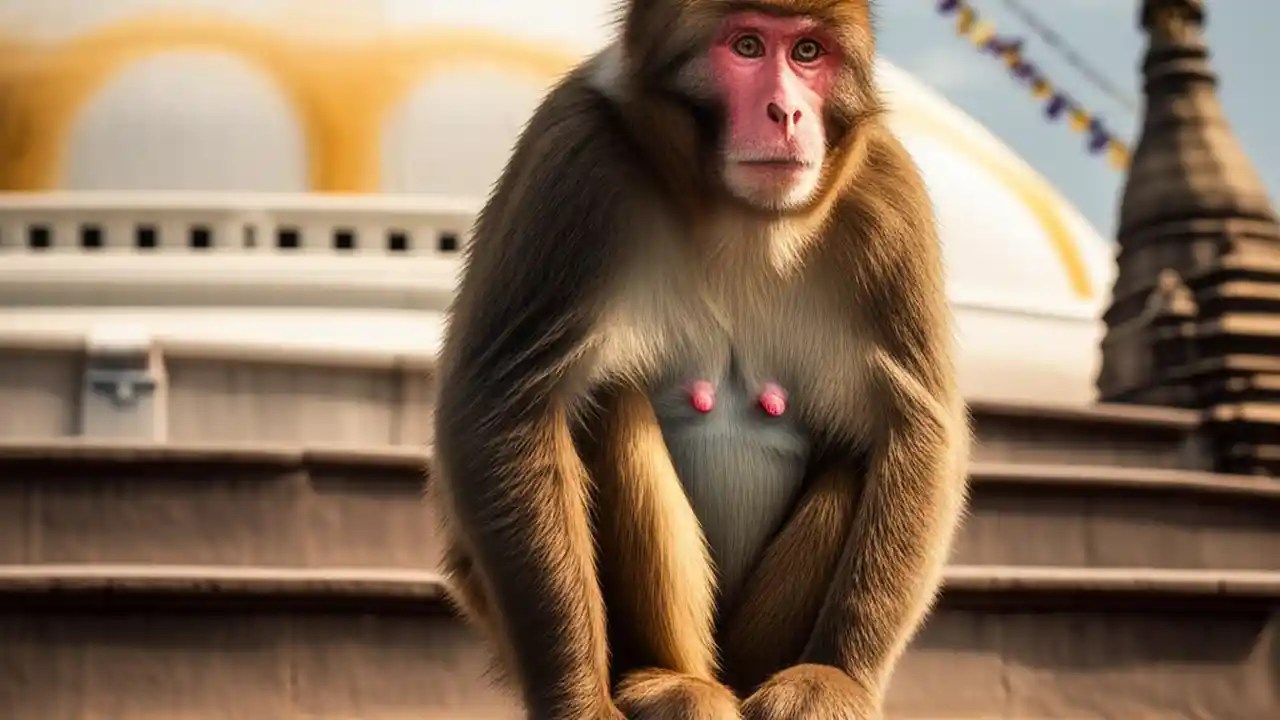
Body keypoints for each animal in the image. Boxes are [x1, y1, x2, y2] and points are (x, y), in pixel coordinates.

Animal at [430, 1, 972, 719]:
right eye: (746, 46)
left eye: (807, 52)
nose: (785, 112)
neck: (738, 218)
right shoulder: (573, 162)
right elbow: (507, 408)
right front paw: (576, 701)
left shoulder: (887, 195)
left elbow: (917, 428)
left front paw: (839, 678)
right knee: (614, 404)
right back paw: (668, 679)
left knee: (856, 456)